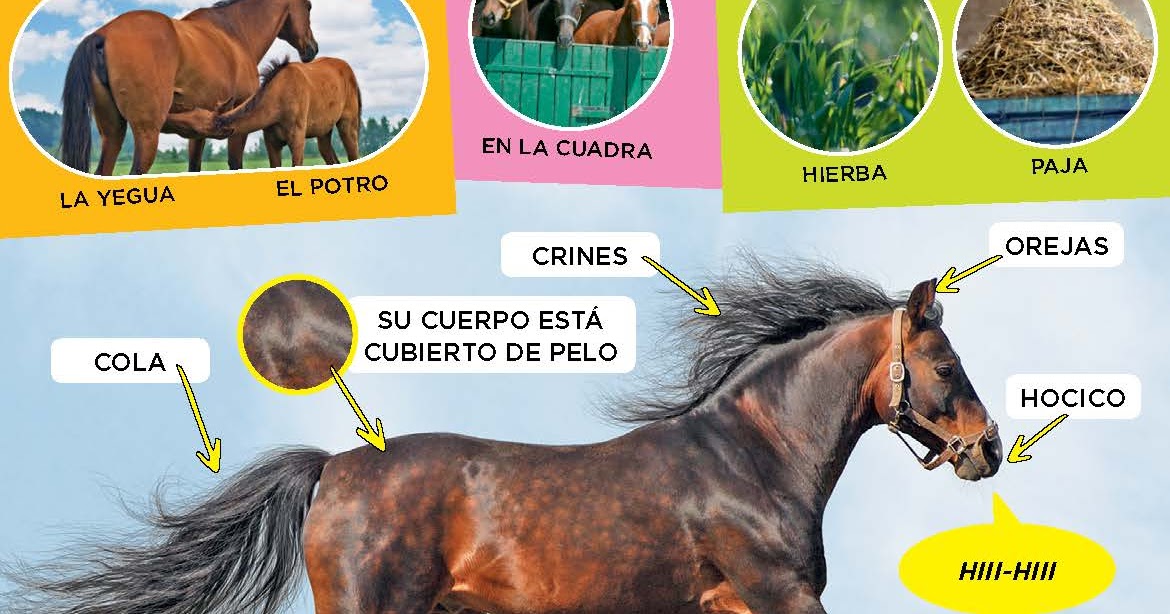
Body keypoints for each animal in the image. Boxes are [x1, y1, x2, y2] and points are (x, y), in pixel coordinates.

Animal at [59, 0, 318, 176]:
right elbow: (235, 164)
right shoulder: (240, 122)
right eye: (308, 6)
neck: (234, 33)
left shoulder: (199, 132)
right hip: (147, 134)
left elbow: (194, 166)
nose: (312, 48)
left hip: (112, 133)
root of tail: (101, 36)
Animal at [170, 57, 363, 167]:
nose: (170, 117)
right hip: (323, 132)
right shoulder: (271, 141)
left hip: (347, 125)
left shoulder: (297, 138)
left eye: (193, 124)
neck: (278, 100)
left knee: (353, 154)